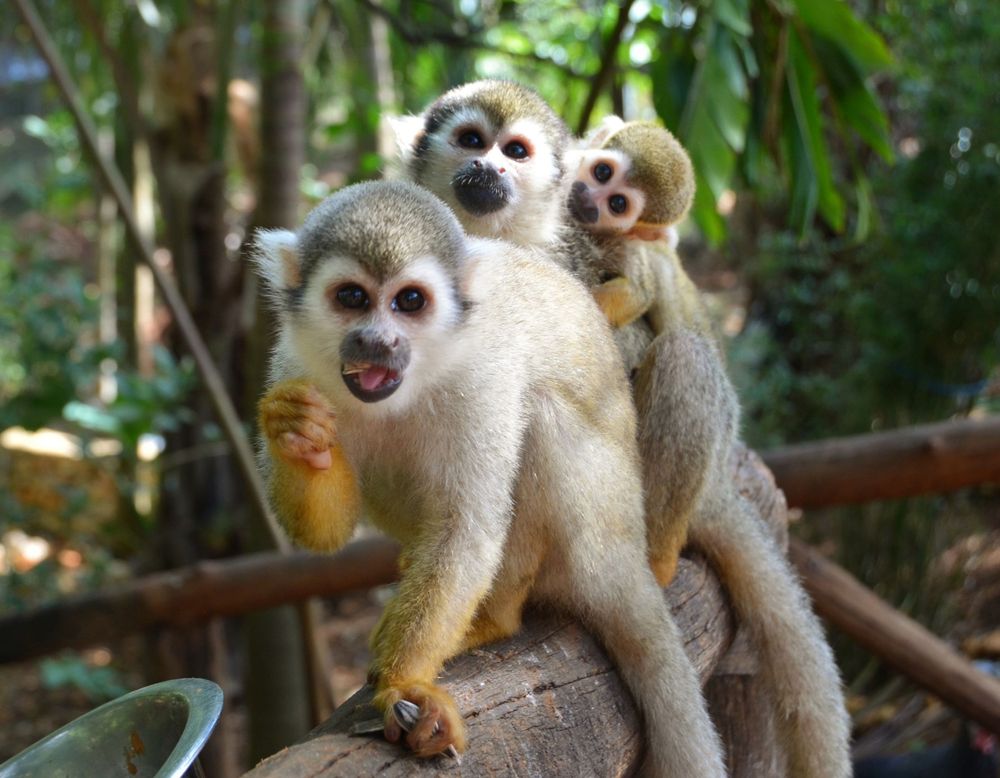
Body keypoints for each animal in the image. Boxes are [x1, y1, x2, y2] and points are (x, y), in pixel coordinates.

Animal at [253, 180, 729, 776]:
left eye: (410, 301)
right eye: (352, 298)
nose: (377, 342)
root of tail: (628, 552)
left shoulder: (481, 375)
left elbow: (469, 529)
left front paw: (405, 685)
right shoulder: (294, 363)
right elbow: (325, 535)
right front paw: (295, 429)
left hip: (598, 529)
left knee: (540, 421)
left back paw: (494, 620)